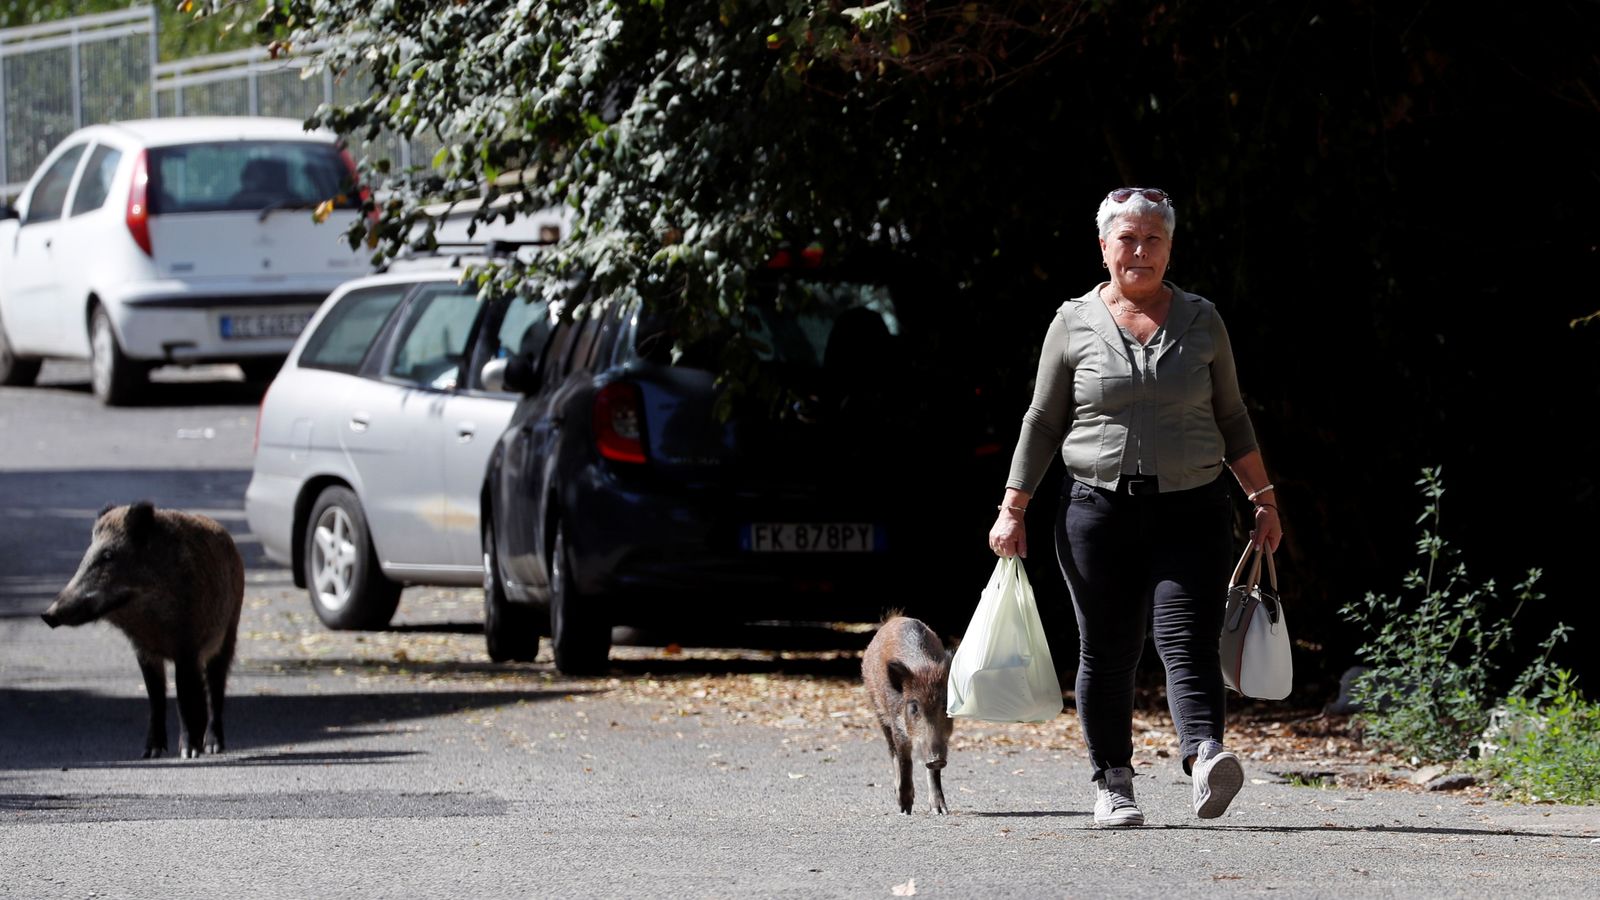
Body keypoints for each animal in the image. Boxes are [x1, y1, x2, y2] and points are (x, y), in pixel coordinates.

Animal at [41, 502, 244, 759]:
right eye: (85, 557)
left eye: (108, 555)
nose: (47, 615)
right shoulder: (143, 651)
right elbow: (155, 696)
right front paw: (149, 753)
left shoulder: (187, 646)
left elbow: (183, 696)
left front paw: (187, 753)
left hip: (230, 629)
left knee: (216, 687)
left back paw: (212, 747)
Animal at [862, 615, 955, 815]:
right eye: (914, 707)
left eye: (945, 705)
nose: (936, 759)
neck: (923, 667)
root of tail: (895, 618)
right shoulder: (898, 727)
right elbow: (905, 761)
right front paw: (905, 810)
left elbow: (934, 772)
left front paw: (940, 811)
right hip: (878, 709)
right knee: (892, 751)